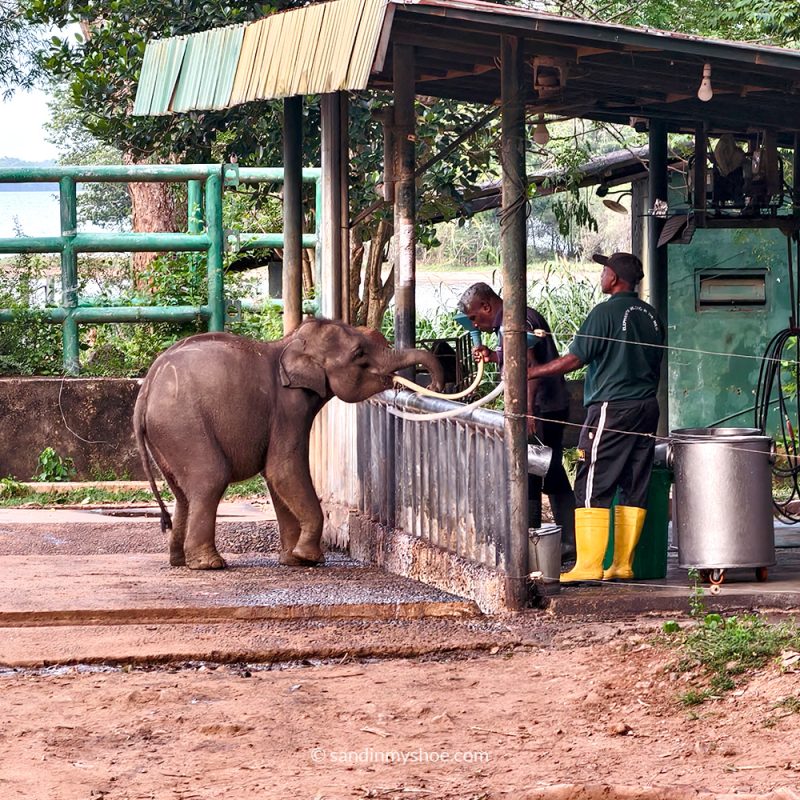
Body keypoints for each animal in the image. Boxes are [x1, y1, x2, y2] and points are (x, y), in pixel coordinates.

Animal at [133, 318, 444, 570]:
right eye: (359, 353)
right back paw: (210, 565)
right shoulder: (288, 407)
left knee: (184, 492)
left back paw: (179, 561)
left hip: (169, 436)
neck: (291, 342)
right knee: (210, 479)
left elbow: (277, 480)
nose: (435, 386)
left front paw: (294, 559)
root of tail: (145, 390)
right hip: (183, 424)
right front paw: (310, 558)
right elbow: (283, 470)